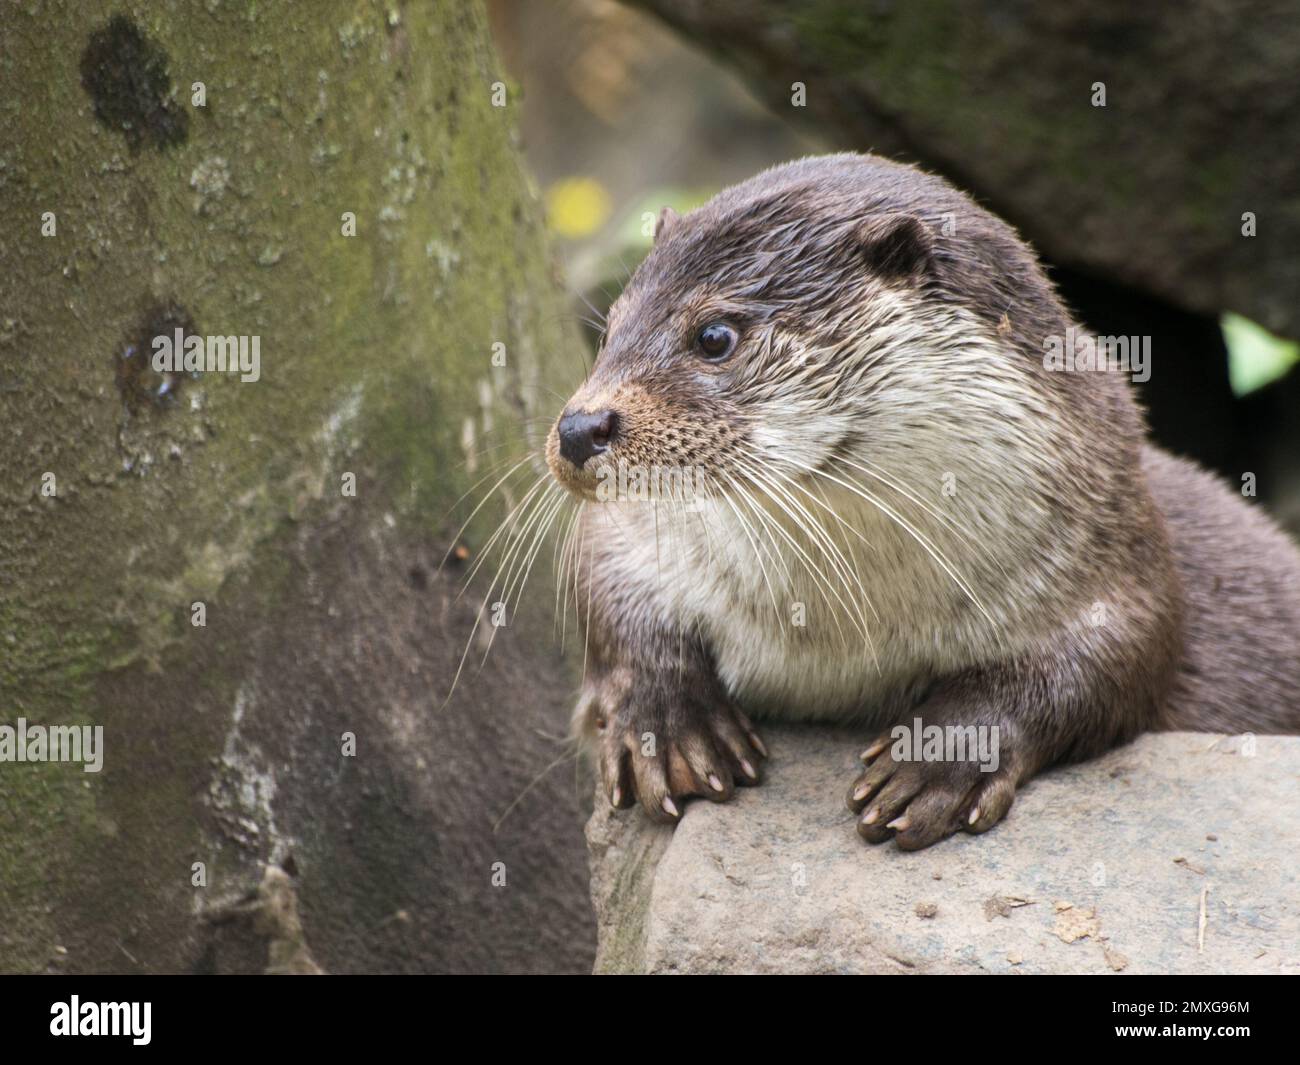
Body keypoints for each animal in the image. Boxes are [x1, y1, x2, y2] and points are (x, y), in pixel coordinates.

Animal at [544, 153, 1300, 850]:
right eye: (610, 329)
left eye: (714, 336)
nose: (579, 427)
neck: (834, 641)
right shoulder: (628, 534)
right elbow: (606, 590)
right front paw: (668, 723)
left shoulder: (1112, 544)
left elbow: (1117, 657)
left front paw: (939, 760)